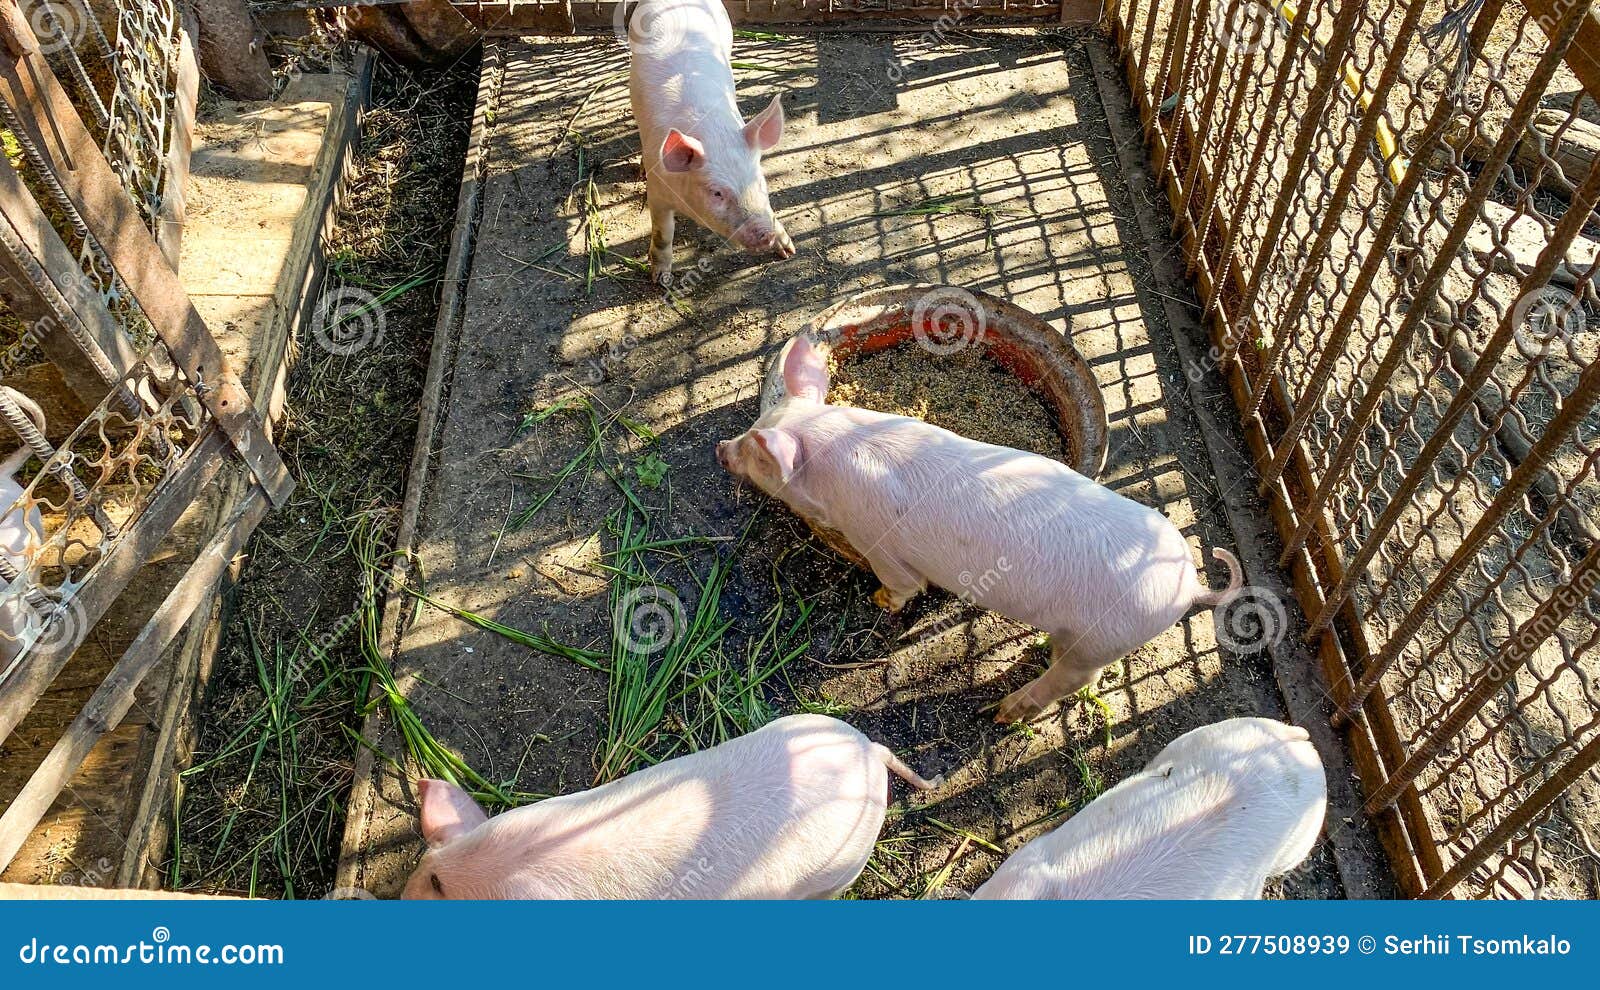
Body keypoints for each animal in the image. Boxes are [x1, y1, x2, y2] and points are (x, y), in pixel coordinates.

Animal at [626, 0, 795, 285]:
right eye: (717, 193)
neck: (713, 132)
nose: (766, 234)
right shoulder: (657, 190)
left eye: (760, 181)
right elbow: (663, 232)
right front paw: (661, 279)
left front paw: (788, 250)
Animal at [717, 335, 1243, 723]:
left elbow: (904, 586)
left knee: (1075, 679)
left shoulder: (878, 543)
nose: (722, 448)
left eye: (757, 456)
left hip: (1101, 639)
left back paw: (1004, 714)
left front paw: (879, 602)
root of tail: (1190, 586)